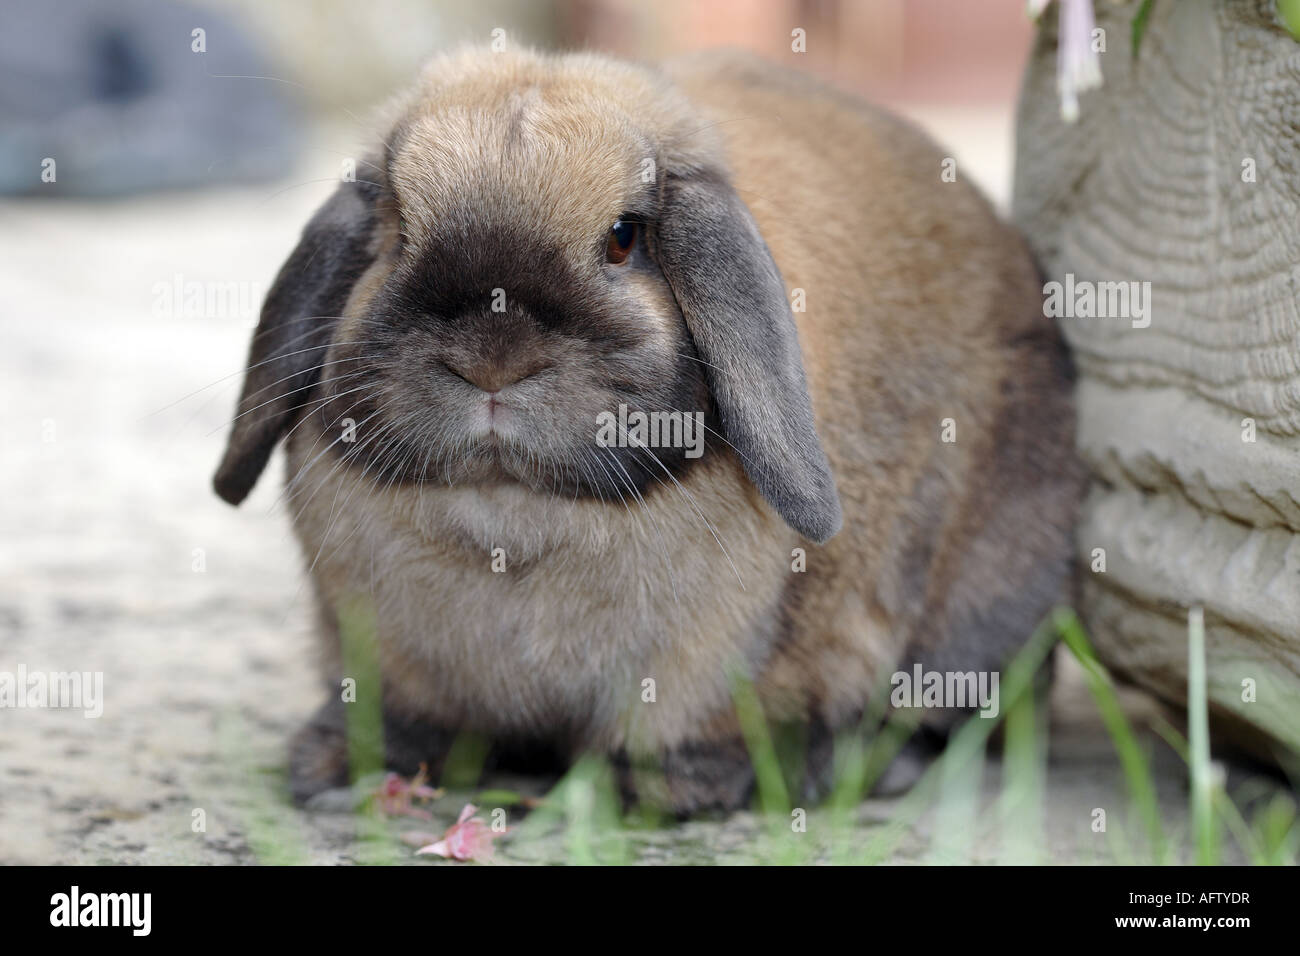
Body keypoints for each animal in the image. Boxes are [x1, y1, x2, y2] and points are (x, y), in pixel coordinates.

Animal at [213, 46, 1084, 814]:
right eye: (395, 231)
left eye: (624, 237)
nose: (492, 363)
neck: (511, 521)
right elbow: (407, 721)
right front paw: (335, 768)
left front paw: (664, 789)